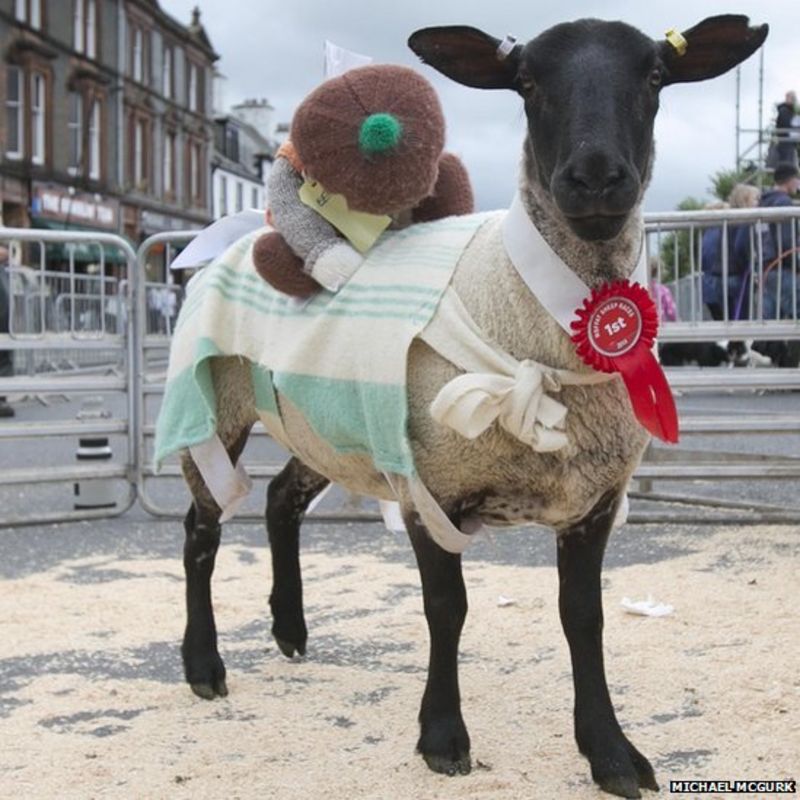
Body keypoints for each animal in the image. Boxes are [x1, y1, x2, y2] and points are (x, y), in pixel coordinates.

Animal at [172, 16, 767, 799]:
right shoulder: (432, 484)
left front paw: (610, 753)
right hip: (218, 410)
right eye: (528, 82)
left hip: (325, 425)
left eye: (655, 77)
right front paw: (443, 739)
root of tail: (238, 238)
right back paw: (204, 667)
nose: (596, 176)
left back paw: (292, 631)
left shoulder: (596, 498)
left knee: (280, 502)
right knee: (201, 530)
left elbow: (584, 617)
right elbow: (446, 609)